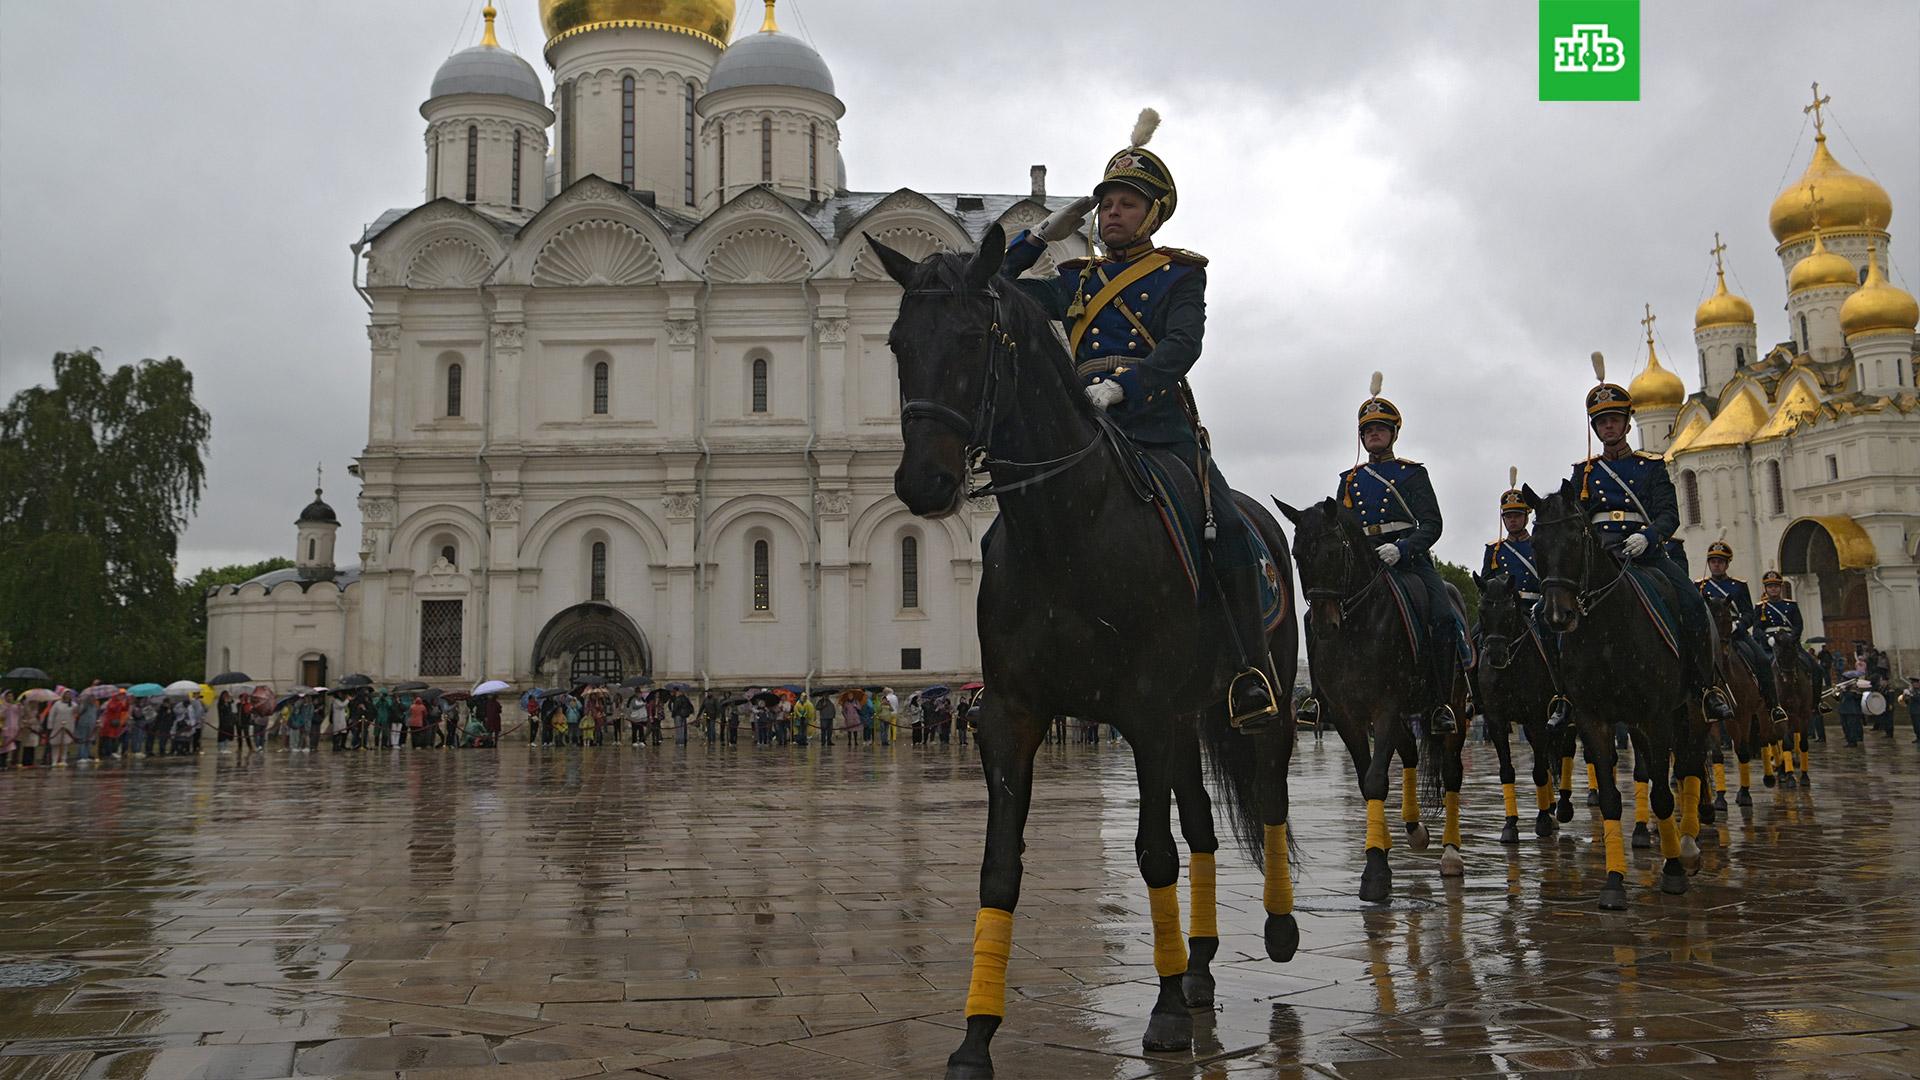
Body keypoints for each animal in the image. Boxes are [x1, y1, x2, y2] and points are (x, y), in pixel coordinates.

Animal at [875, 220, 1305, 1076]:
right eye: (899, 341)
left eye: (973, 337)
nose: (921, 483)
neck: (1065, 528)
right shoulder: (1013, 717)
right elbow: (999, 871)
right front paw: (976, 1034)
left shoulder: (1144, 716)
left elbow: (1154, 855)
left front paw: (1164, 1012)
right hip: (1187, 723)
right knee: (1205, 826)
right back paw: (1199, 966)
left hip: (1256, 702)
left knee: (1267, 797)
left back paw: (1275, 930)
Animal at [1274, 499, 1466, 899]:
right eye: (1297, 555)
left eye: (1334, 552)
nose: (1324, 625)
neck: (1356, 625)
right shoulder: (1347, 714)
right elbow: (1366, 780)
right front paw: (1380, 852)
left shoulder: (1385, 706)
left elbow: (1377, 779)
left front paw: (1376, 870)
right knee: (1409, 752)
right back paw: (1414, 829)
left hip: (1454, 704)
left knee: (1452, 769)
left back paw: (1451, 853)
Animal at [1466, 568, 1574, 837]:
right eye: (1482, 611)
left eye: (1509, 611)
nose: (1495, 656)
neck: (1511, 667)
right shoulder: (1496, 720)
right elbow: (1507, 770)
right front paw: (1510, 824)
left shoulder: (1537, 716)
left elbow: (1539, 771)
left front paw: (1543, 820)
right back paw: (1551, 806)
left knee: (1565, 752)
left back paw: (1563, 807)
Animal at [1528, 478, 1712, 899]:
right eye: (1535, 543)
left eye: (1575, 537)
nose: (1557, 615)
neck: (1607, 636)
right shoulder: (1594, 719)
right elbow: (1612, 799)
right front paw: (1613, 883)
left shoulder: (1656, 717)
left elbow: (1663, 794)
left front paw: (1673, 870)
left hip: (1691, 710)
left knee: (1690, 766)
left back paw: (1688, 845)